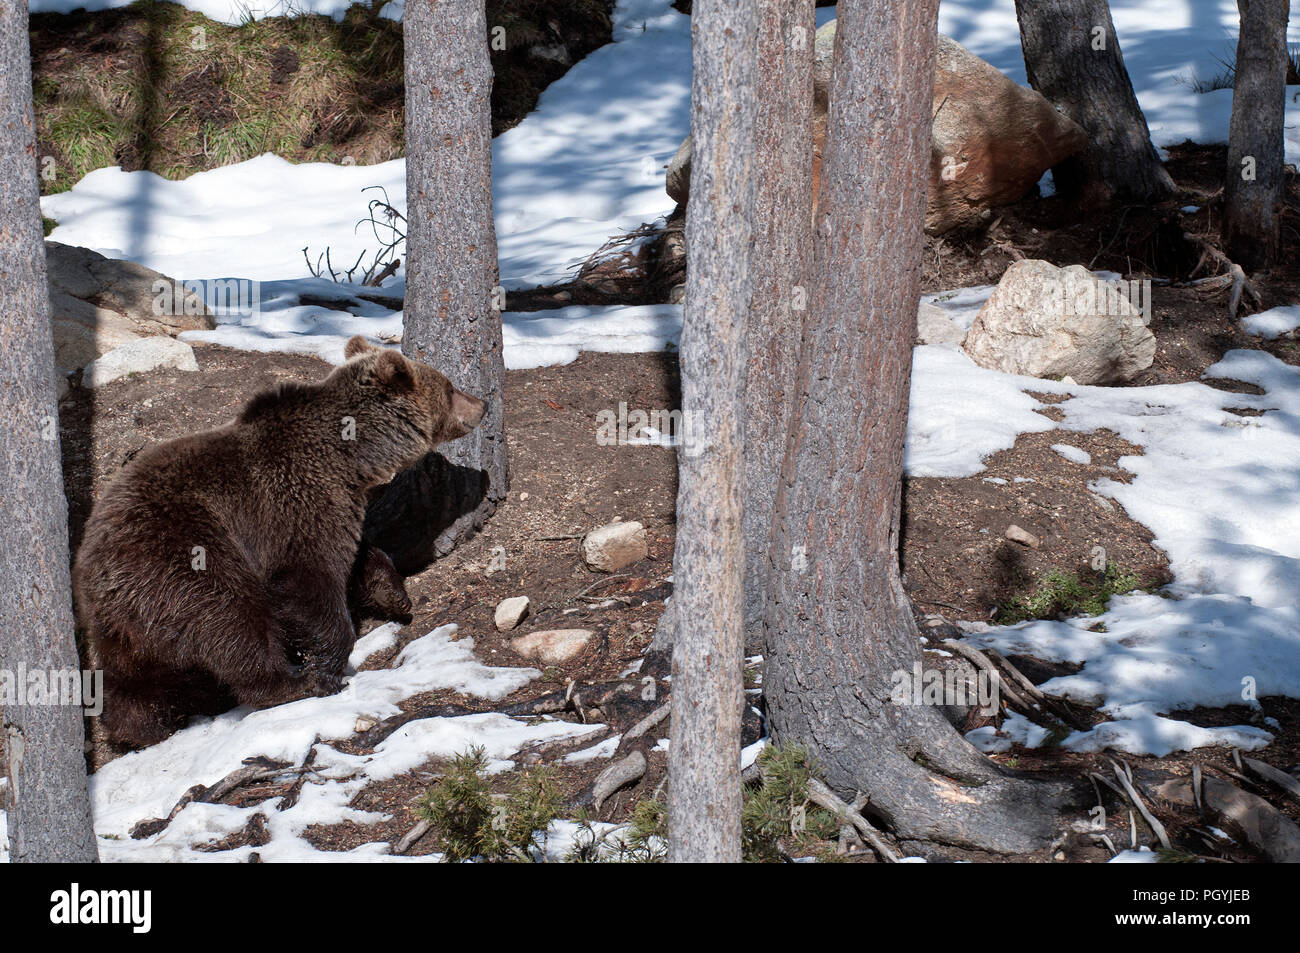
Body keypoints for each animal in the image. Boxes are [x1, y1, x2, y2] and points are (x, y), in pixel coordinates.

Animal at [73, 336, 485, 748]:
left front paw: (394, 595)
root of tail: (93, 567)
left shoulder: (334, 505)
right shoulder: (292, 501)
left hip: (127, 615)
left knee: (130, 676)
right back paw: (291, 684)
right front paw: (329, 662)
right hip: (180, 554)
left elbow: (361, 555)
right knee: (230, 620)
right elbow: (308, 580)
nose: (481, 403)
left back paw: (142, 727)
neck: (351, 458)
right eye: (450, 387)